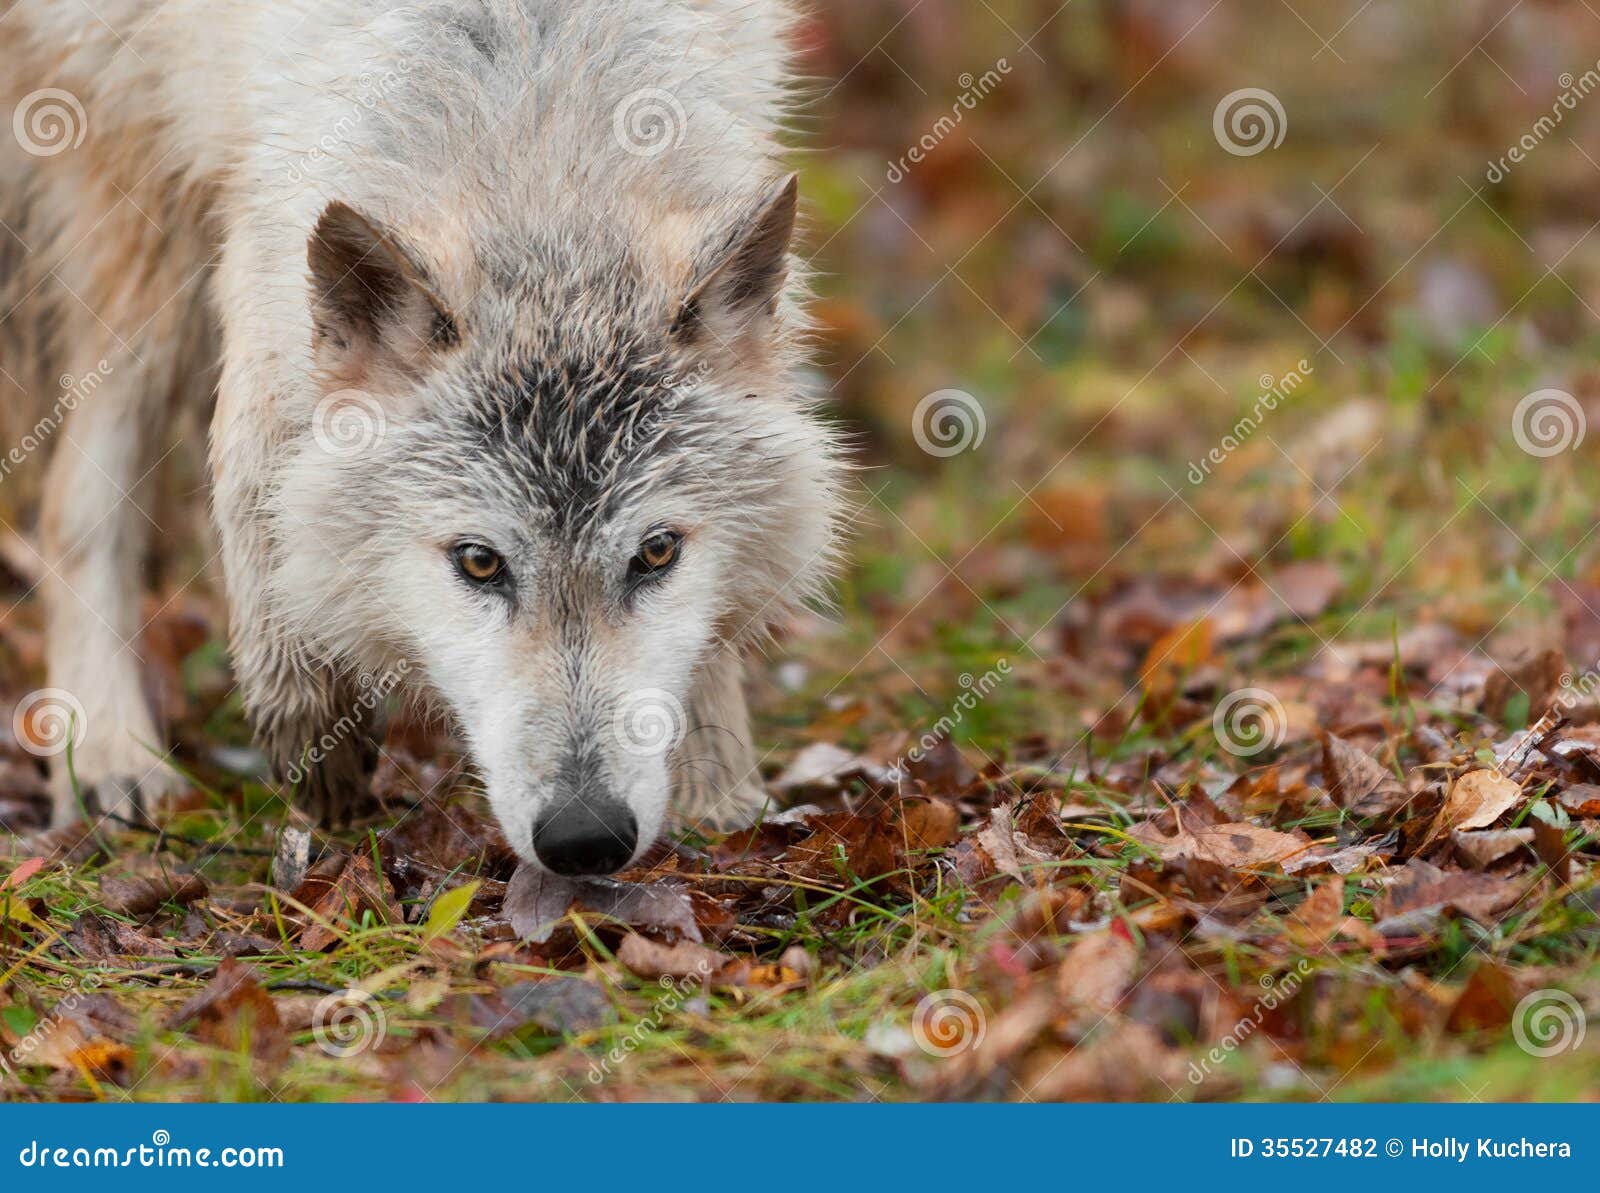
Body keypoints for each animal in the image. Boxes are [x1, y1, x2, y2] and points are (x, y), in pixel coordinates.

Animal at [0, 0, 842, 876]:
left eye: (657, 552)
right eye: (479, 562)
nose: (585, 836)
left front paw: (722, 789)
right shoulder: (254, 197)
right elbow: (254, 472)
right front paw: (307, 714)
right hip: (135, 208)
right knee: (74, 500)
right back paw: (109, 758)